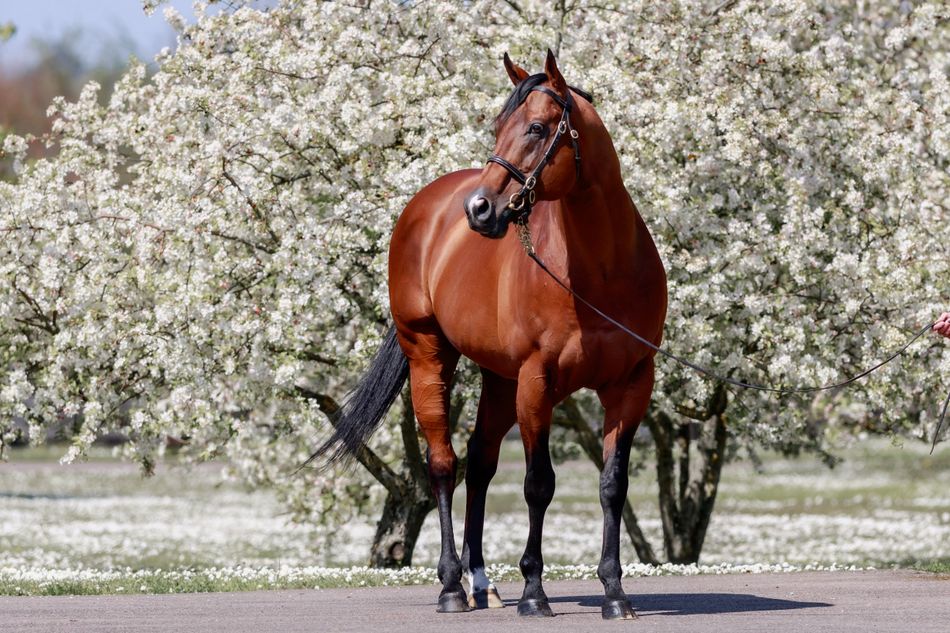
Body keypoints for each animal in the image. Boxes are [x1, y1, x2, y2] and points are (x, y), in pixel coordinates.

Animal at [317, 50, 667, 620]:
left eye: (536, 128)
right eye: (497, 126)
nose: (480, 210)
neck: (602, 270)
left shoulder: (632, 385)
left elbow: (612, 486)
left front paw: (615, 592)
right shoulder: (537, 383)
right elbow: (538, 485)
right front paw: (534, 592)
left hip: (499, 378)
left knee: (479, 463)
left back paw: (481, 582)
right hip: (431, 356)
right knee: (444, 465)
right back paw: (452, 587)